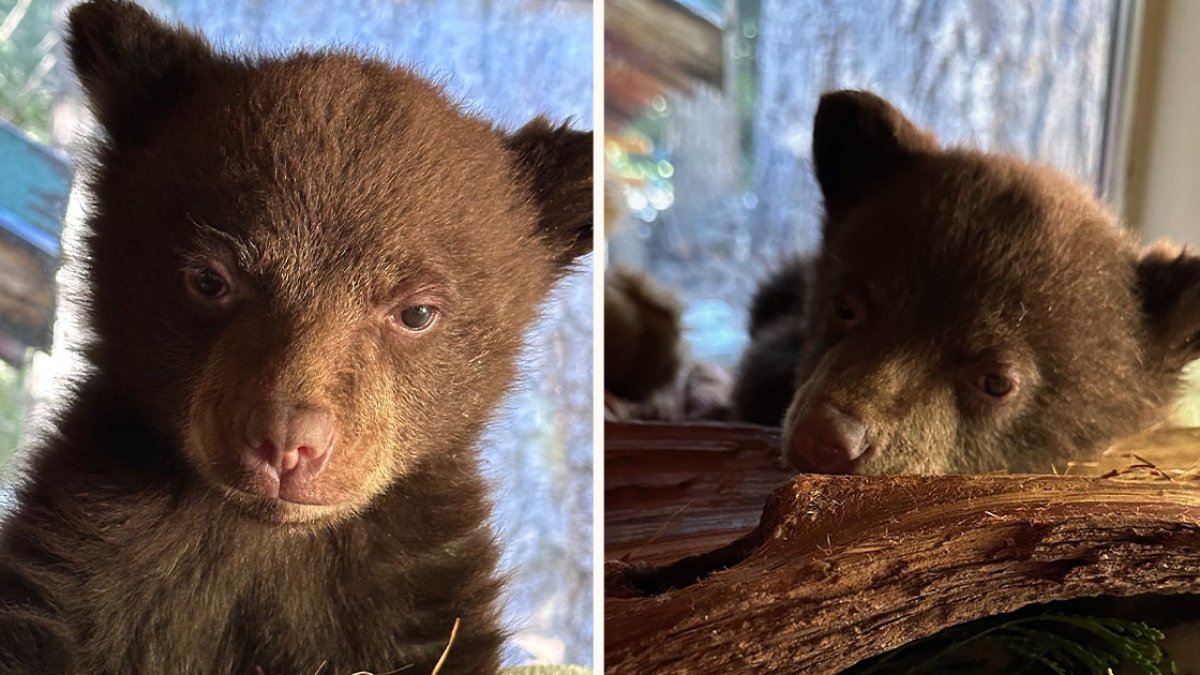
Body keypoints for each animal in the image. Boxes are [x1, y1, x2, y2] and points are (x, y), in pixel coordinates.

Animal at [0, 1, 591, 673]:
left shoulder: (421, 601)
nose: (287, 442)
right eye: (210, 279)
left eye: (416, 312)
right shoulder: (75, 569)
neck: (266, 539)